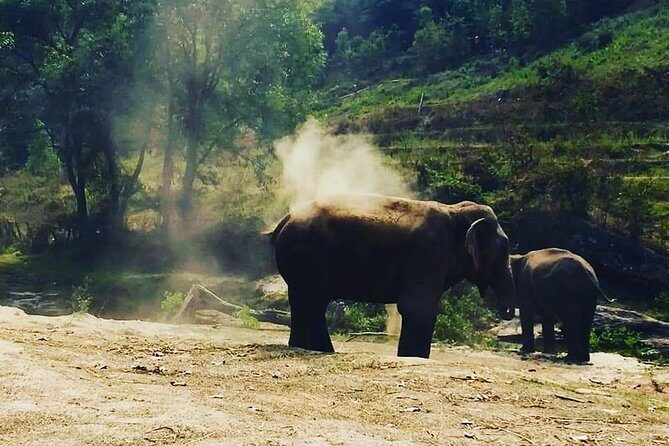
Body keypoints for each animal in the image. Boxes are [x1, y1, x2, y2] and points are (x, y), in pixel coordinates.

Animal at [264, 194, 516, 358]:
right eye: (504, 249)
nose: (506, 311)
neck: (456, 211)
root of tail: (287, 218)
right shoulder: (429, 252)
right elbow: (418, 307)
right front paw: (414, 358)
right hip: (308, 257)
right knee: (313, 303)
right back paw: (321, 350)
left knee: (304, 302)